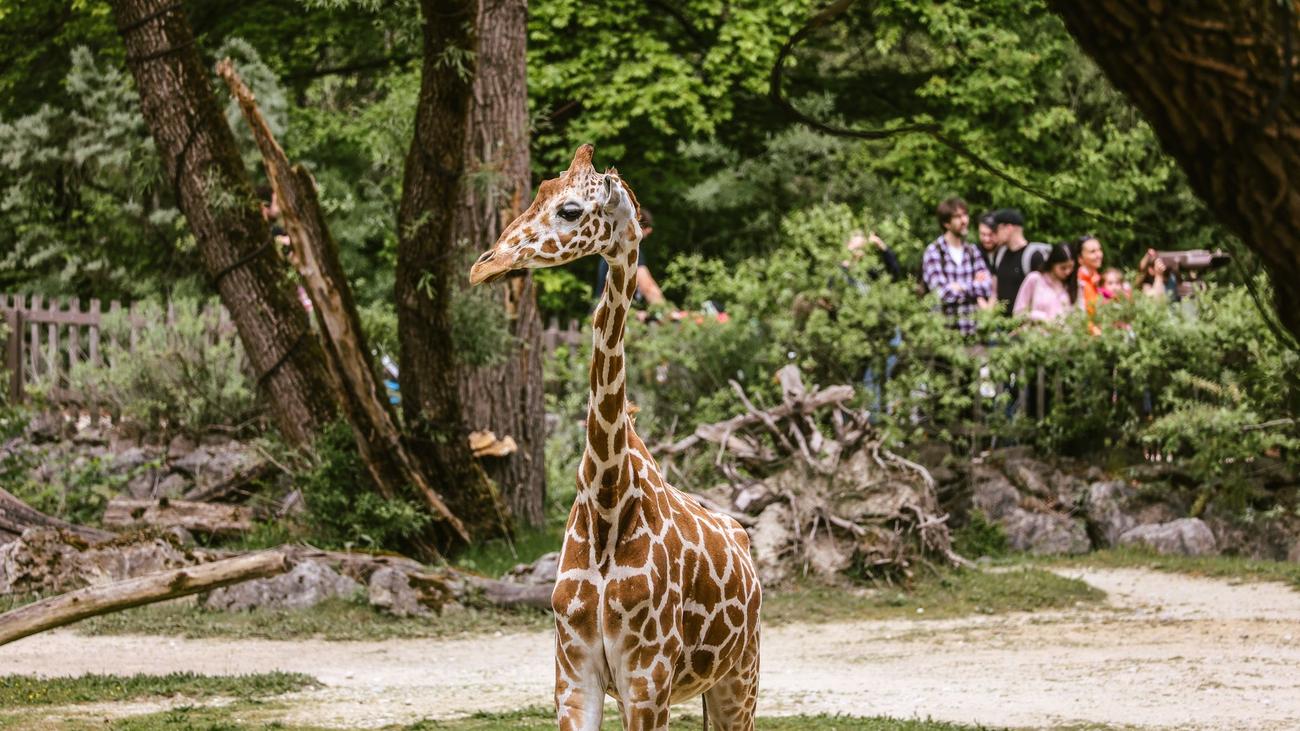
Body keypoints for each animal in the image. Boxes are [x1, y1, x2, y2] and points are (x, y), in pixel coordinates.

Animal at [469, 144, 762, 730]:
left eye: (570, 210)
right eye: (539, 190)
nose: (482, 265)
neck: (607, 504)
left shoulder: (646, 681)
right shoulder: (572, 676)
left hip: (740, 680)